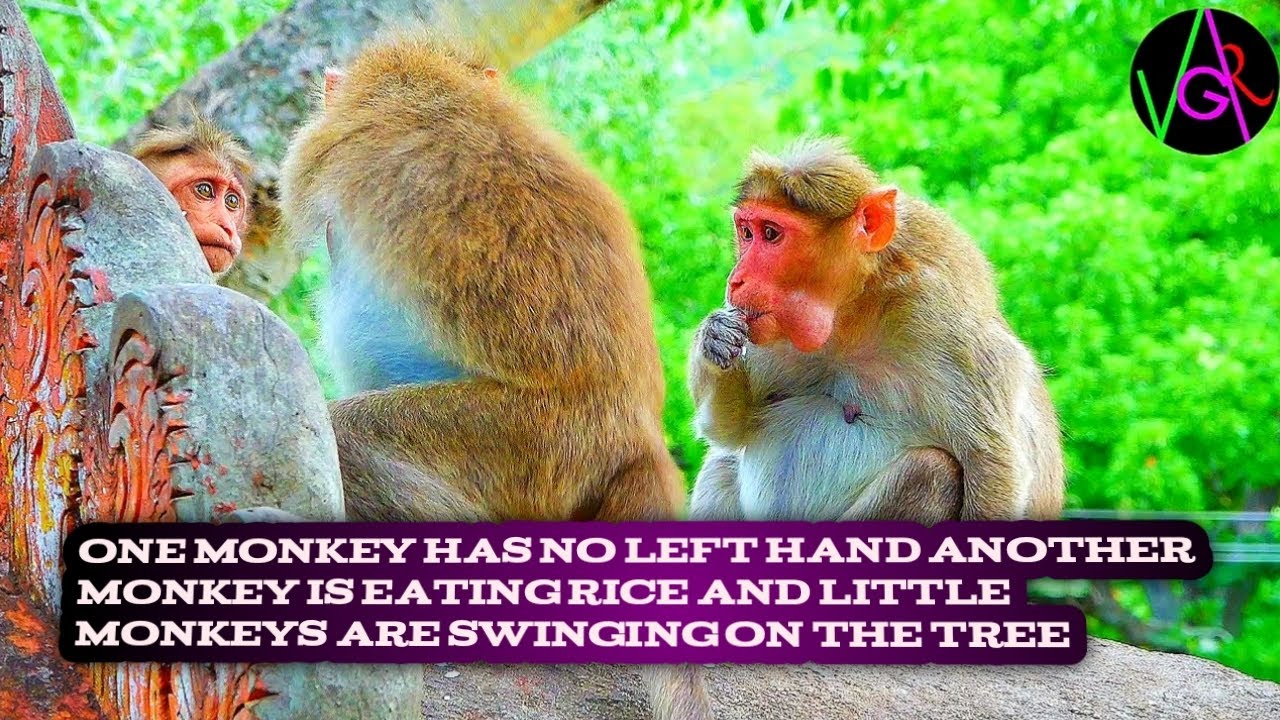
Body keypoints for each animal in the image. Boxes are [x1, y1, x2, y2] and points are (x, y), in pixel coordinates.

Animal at [688, 137, 1064, 525]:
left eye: (771, 234)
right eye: (746, 233)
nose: (736, 280)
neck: (851, 314)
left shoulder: (945, 324)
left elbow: (993, 465)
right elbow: (729, 431)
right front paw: (715, 337)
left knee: (933, 471)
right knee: (723, 464)